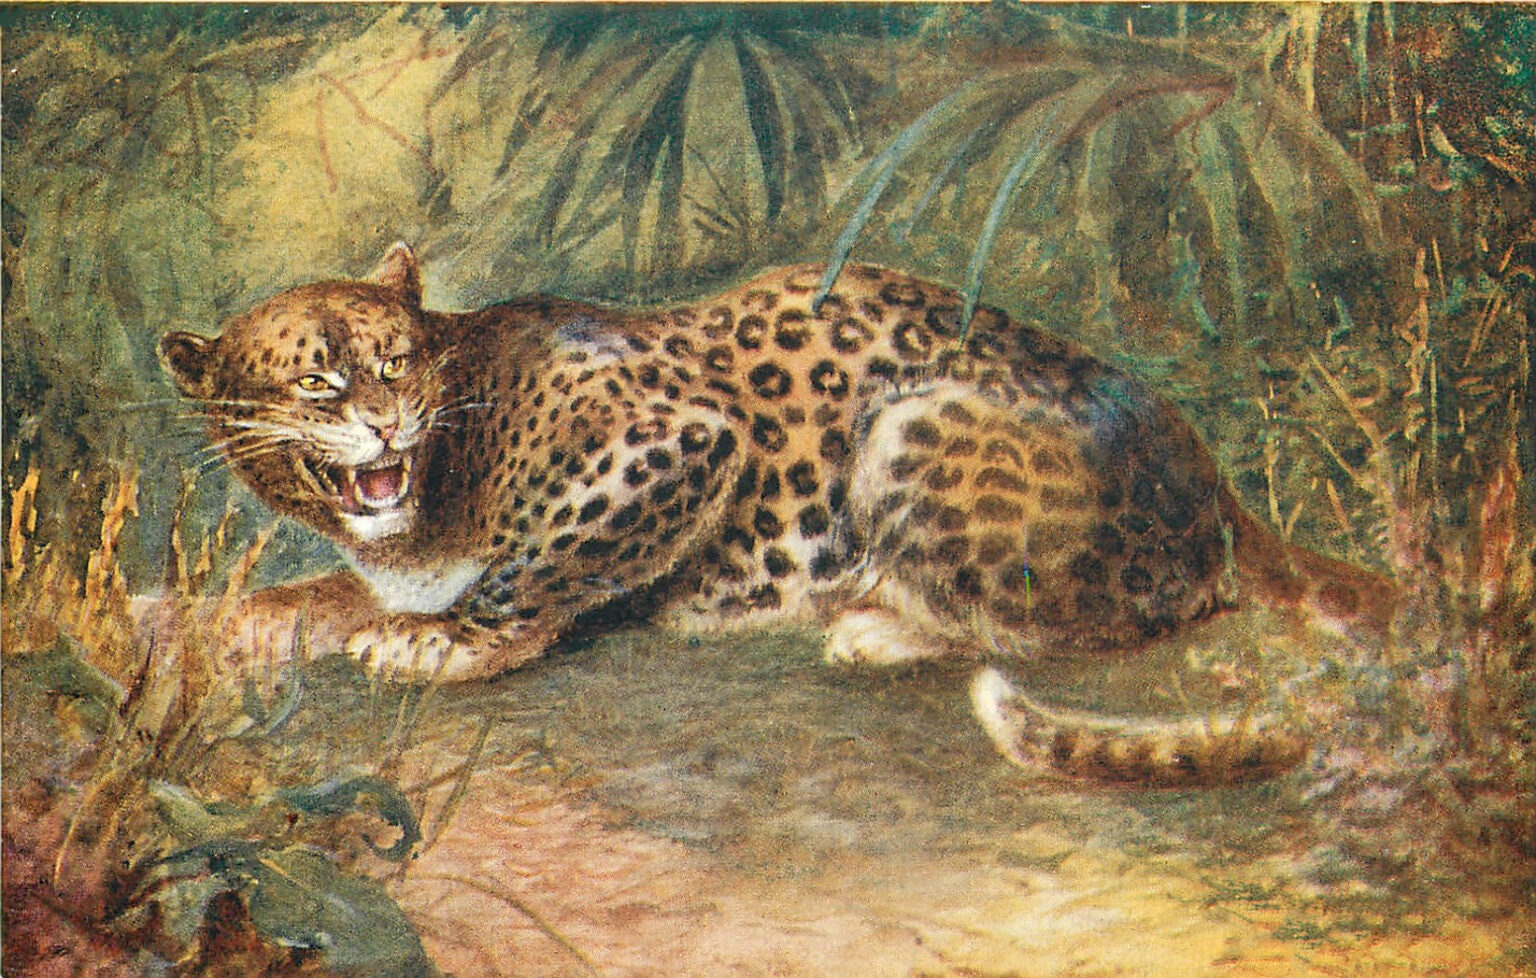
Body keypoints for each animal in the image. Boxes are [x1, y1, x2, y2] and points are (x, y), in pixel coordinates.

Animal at [160, 243, 1393, 787]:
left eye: (395, 362)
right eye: (316, 383)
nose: (382, 422)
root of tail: (1219, 483)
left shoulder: (676, 441)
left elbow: (541, 562)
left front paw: (446, 644)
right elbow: (315, 594)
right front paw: (218, 617)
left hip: (910, 427)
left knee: (1073, 618)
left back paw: (877, 625)